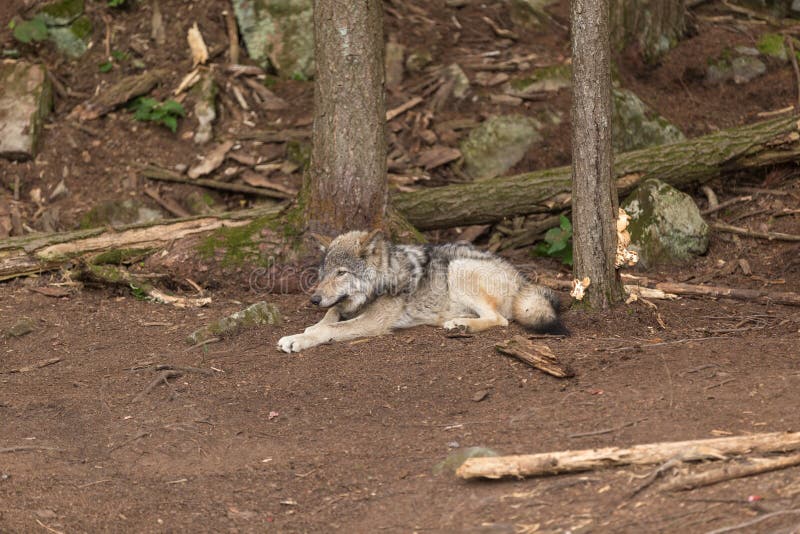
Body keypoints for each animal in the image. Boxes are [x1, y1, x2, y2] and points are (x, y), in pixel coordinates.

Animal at [277, 230, 566, 353]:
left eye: (341, 273)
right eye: (324, 272)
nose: (313, 299)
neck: (384, 278)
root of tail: (522, 280)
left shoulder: (373, 322)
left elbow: (329, 328)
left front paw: (299, 339)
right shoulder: (343, 306)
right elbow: (328, 317)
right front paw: (306, 329)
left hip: (458, 268)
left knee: (500, 320)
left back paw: (461, 325)